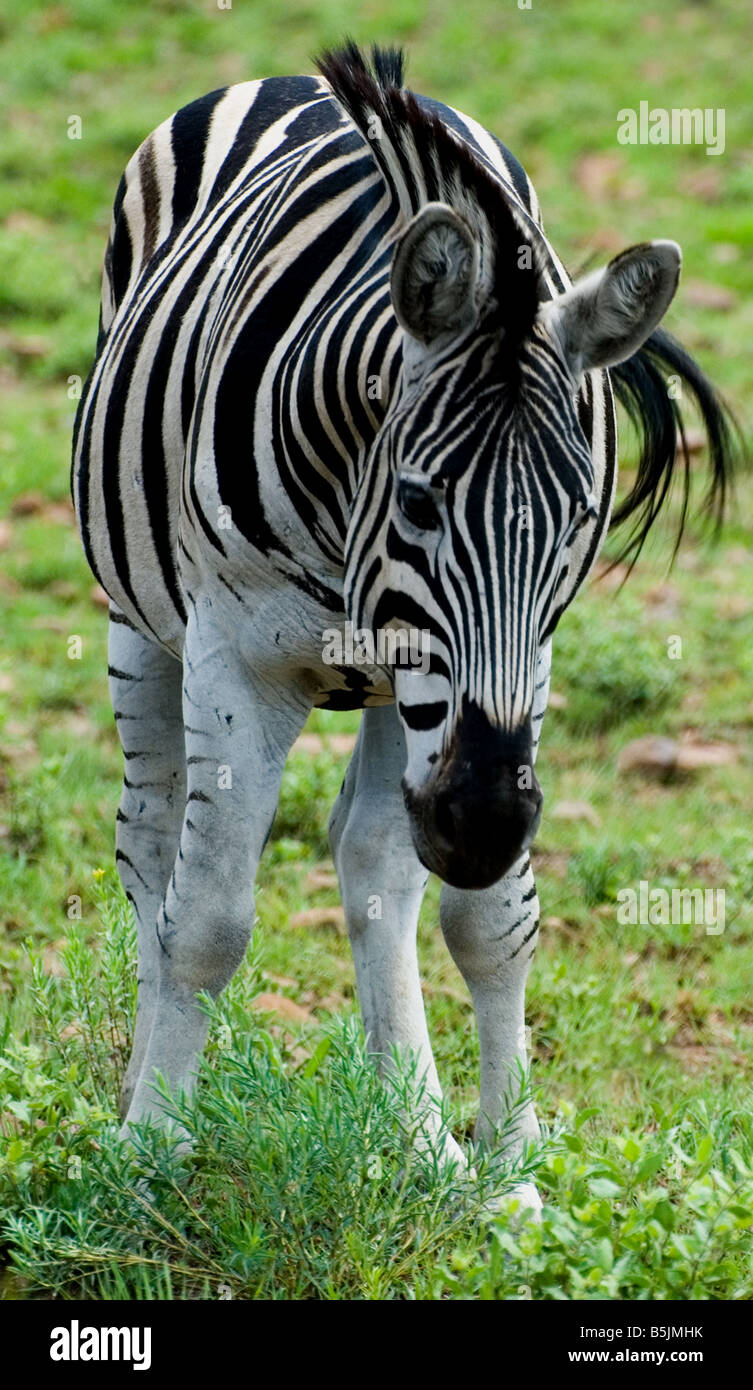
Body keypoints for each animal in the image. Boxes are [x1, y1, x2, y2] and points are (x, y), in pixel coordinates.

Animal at [72, 44, 733, 1210]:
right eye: (420, 502)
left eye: (579, 517)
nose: (480, 821)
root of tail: (284, 78)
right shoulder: (232, 657)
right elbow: (207, 921)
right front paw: (152, 1155)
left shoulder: (516, 671)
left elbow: (488, 920)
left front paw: (508, 1172)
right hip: (141, 625)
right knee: (151, 851)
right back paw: (142, 1102)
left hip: (407, 695)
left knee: (374, 862)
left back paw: (417, 1134)